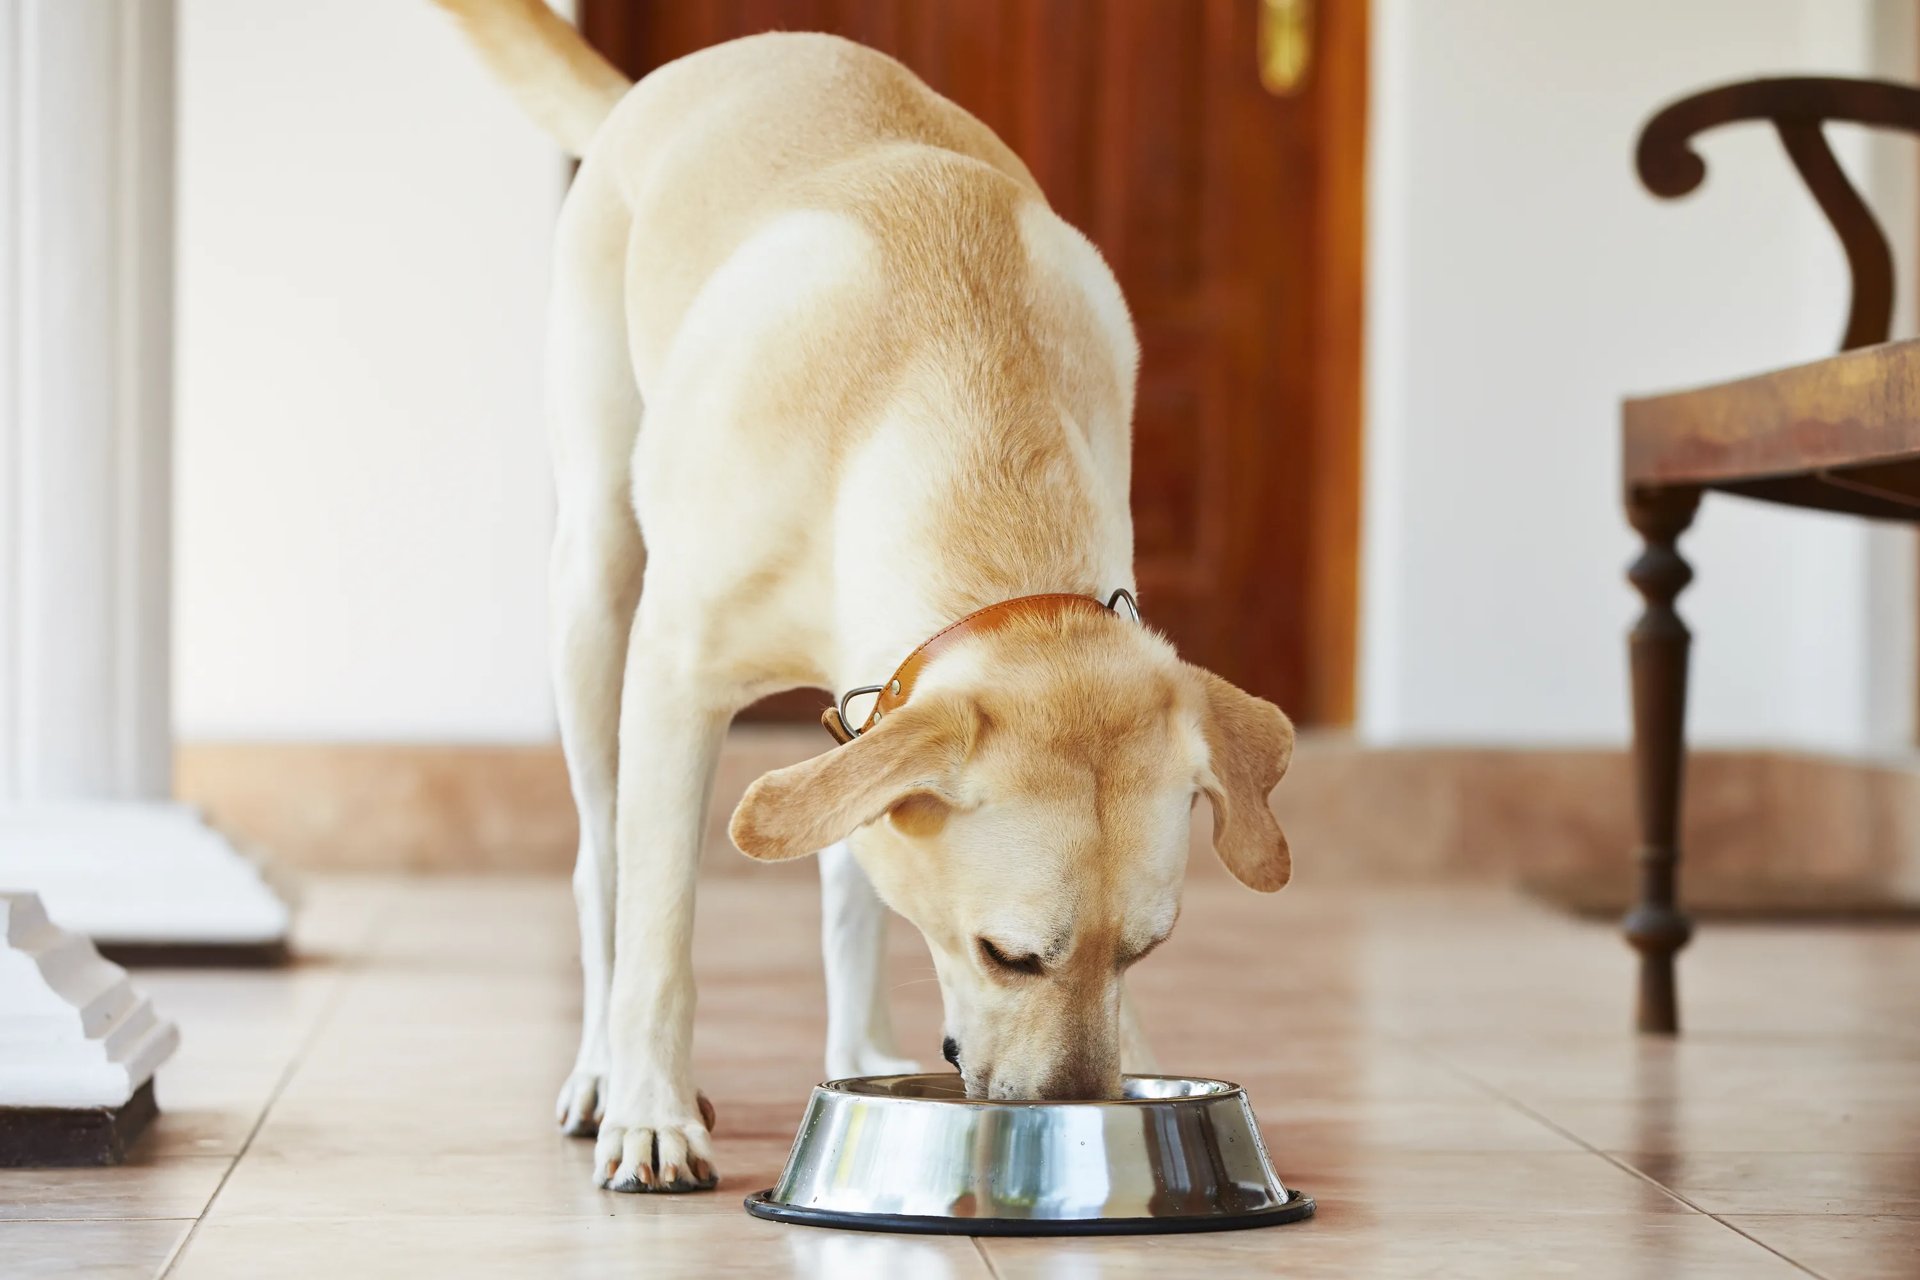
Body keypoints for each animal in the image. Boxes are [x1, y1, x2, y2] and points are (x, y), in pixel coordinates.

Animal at [433, 2, 1297, 1205]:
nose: (1072, 1111)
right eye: (1005, 954)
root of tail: (662, 85)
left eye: (1144, 950)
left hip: (857, 712)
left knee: (844, 868)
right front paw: (654, 1113)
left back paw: (859, 1050)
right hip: (594, 576)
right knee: (601, 866)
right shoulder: (675, 675)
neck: (957, 410)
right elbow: (661, 923)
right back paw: (605, 1072)